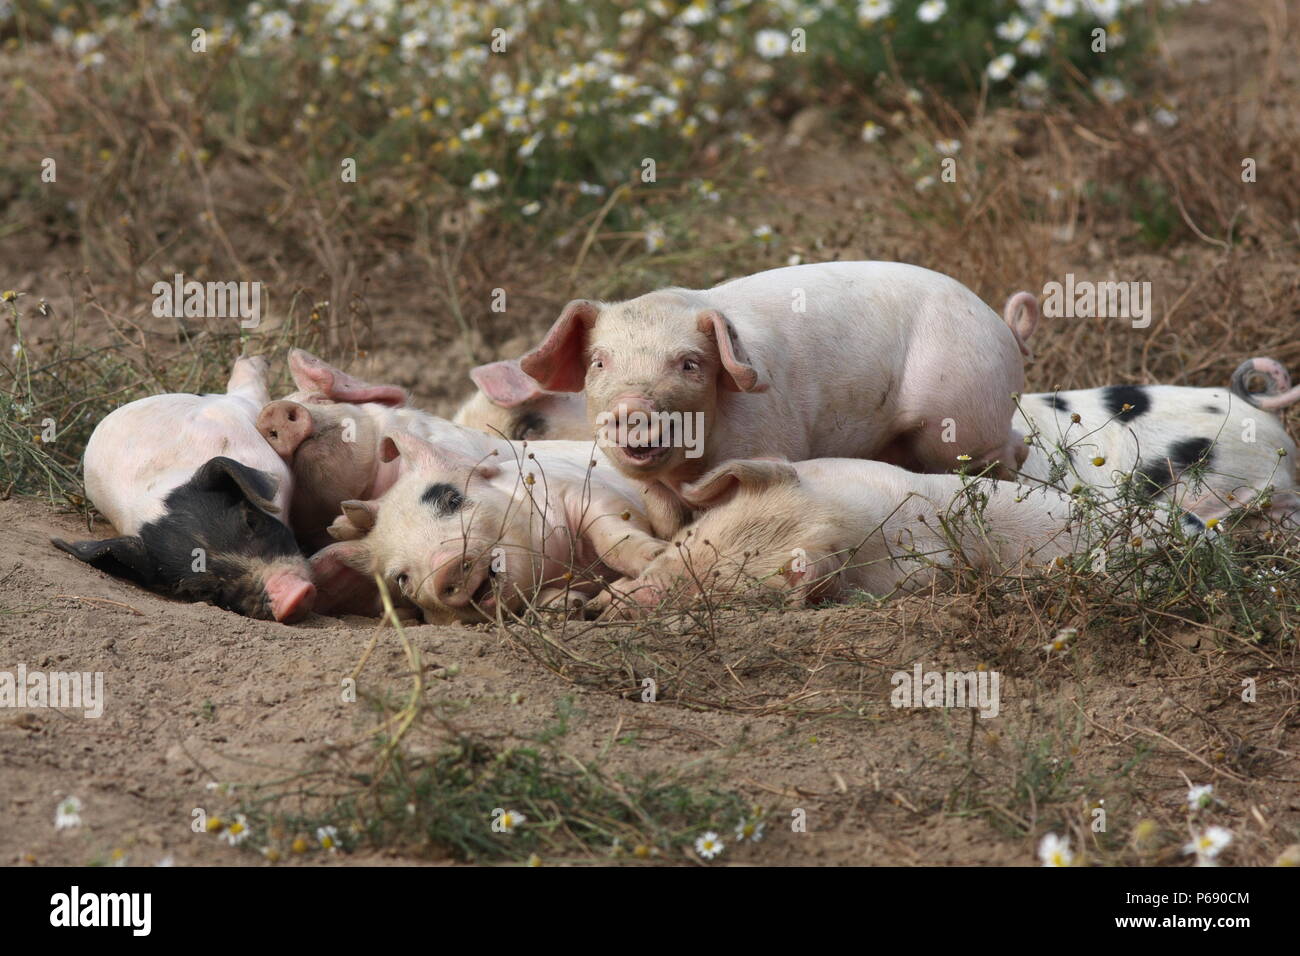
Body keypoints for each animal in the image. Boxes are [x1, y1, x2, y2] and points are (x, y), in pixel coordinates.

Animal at [315, 430, 665, 622]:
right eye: (401, 579)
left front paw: (657, 555)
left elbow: (611, 532)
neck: (563, 565)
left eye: (451, 500)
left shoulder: (583, 489)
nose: (443, 567)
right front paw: (565, 607)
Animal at [517, 262, 1036, 535]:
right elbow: (665, 520)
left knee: (1002, 450)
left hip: (958, 416)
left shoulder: (770, 438)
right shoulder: (651, 488)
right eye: (599, 363)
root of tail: (1000, 324)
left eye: (689, 363)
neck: (687, 468)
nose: (631, 407)